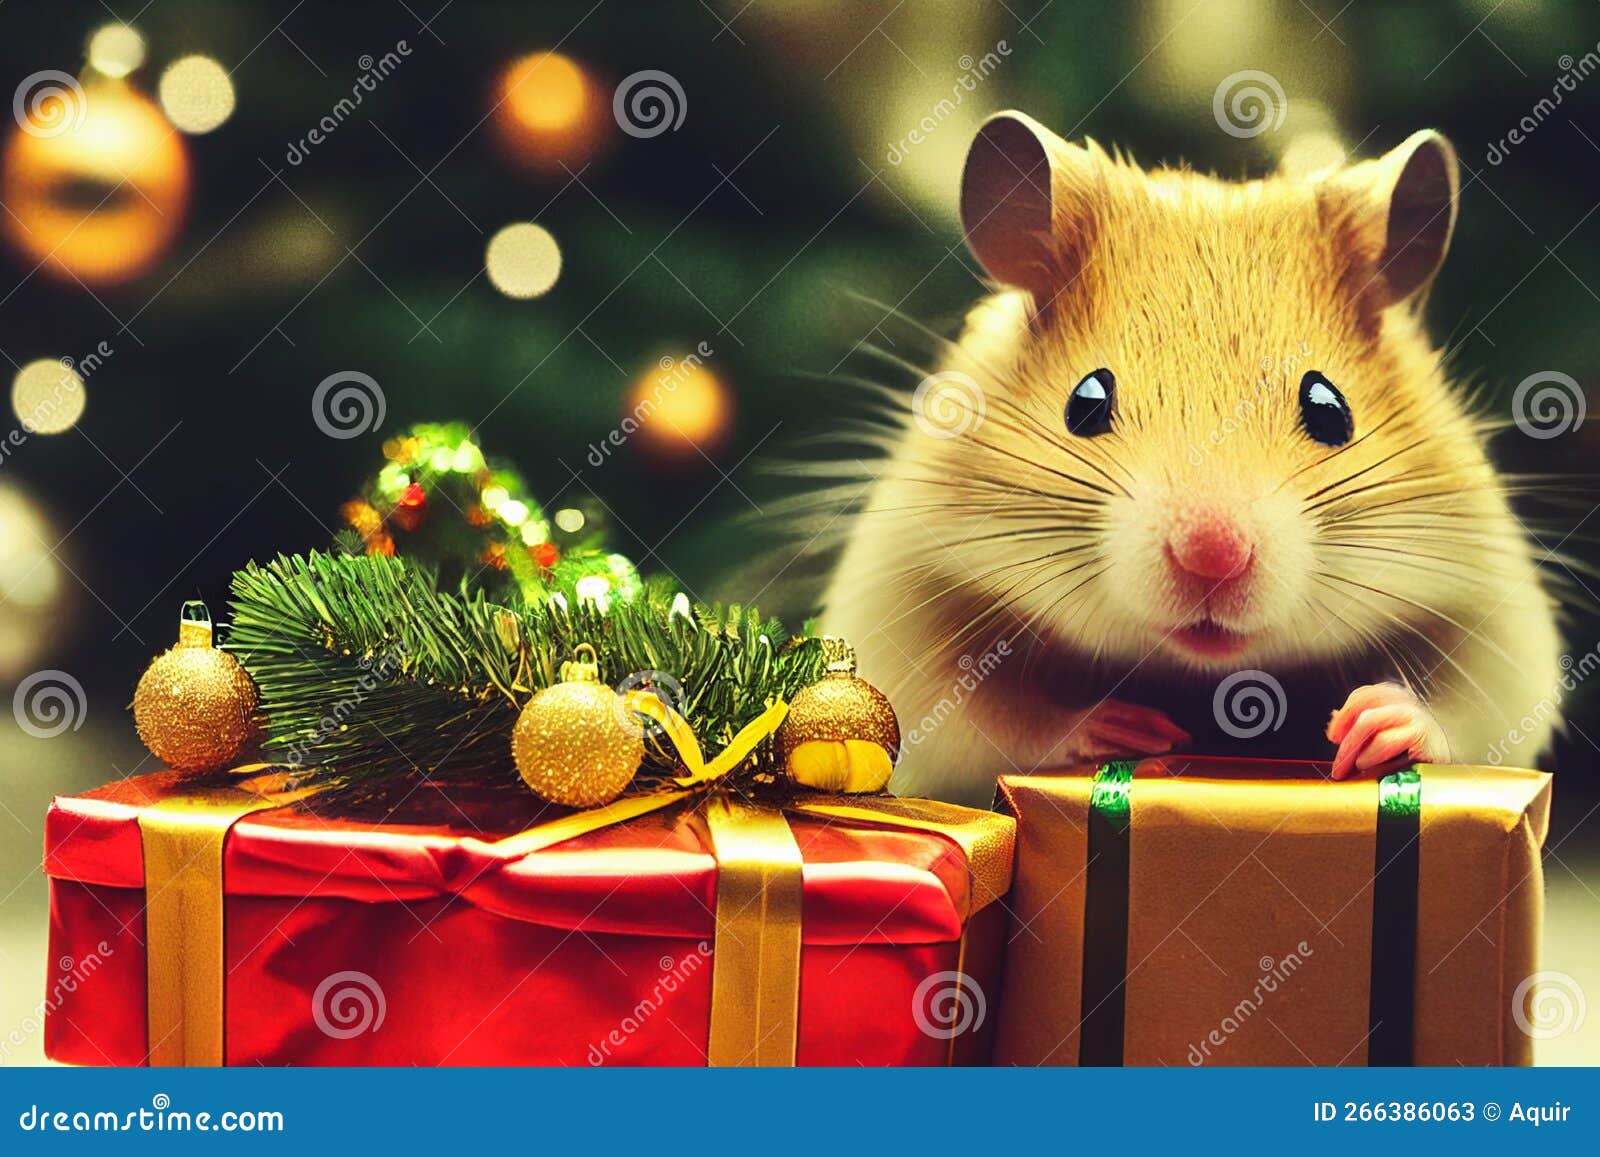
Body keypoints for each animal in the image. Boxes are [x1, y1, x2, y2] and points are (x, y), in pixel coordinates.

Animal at [819, 111, 1566, 807]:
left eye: (1331, 409)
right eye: (1085, 402)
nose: (1212, 556)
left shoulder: (1498, 614)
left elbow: (1467, 711)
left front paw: (1371, 723)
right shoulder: (904, 606)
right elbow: (987, 720)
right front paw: (1123, 729)